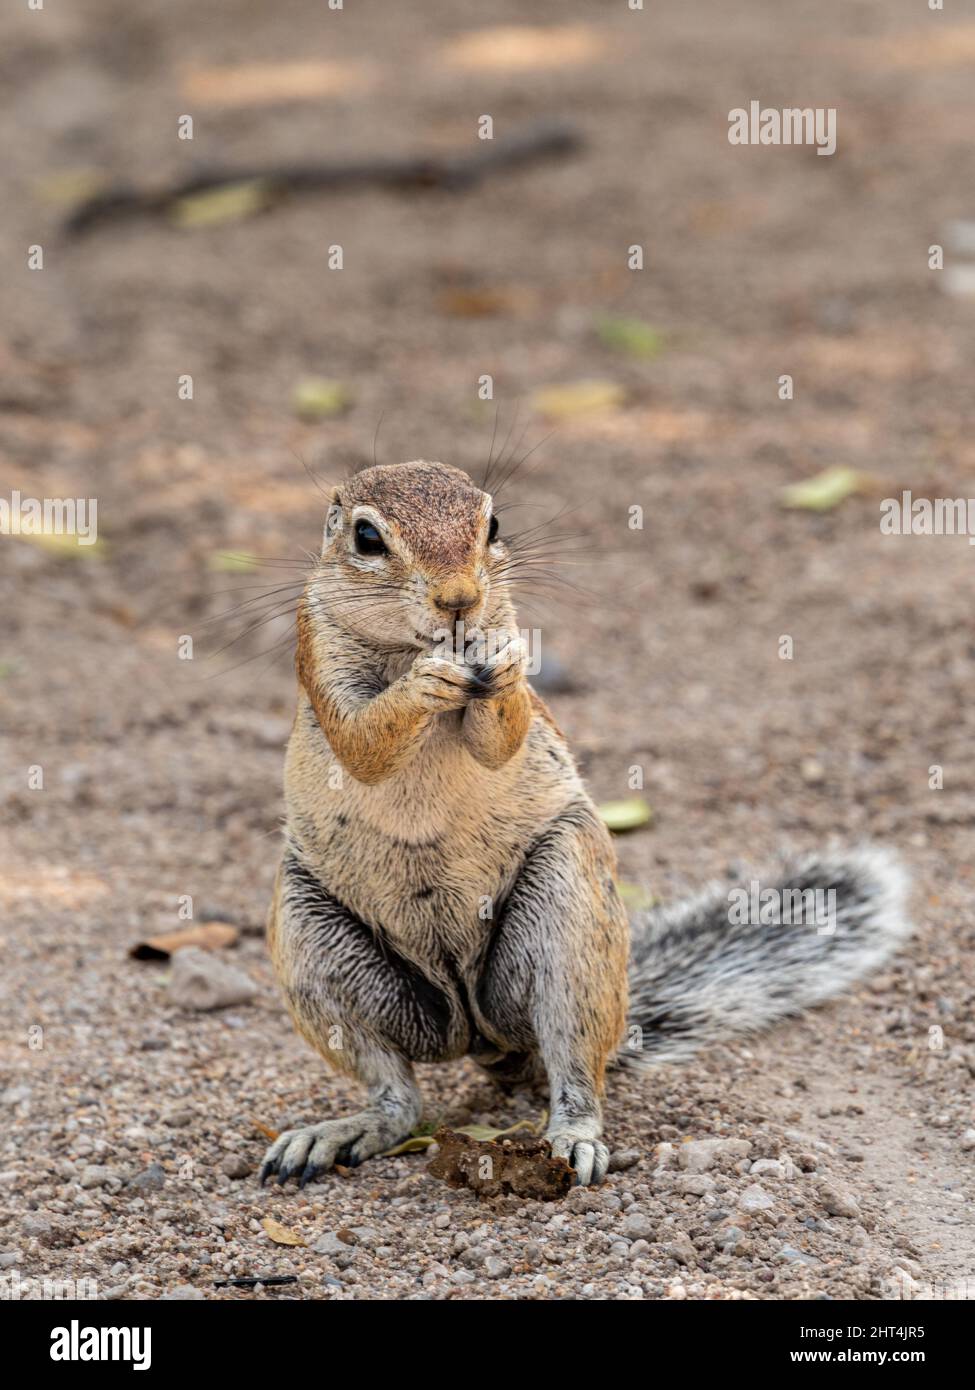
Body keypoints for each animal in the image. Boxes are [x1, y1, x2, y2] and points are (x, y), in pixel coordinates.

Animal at [260, 459, 910, 1188]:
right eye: (367, 538)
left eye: (492, 524)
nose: (460, 599)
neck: (413, 646)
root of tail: (479, 1037)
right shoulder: (317, 649)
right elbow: (363, 741)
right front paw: (422, 686)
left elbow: (502, 736)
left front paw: (501, 664)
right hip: (313, 949)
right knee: (398, 1098)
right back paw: (339, 1132)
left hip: (568, 919)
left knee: (572, 1063)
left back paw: (572, 1137)